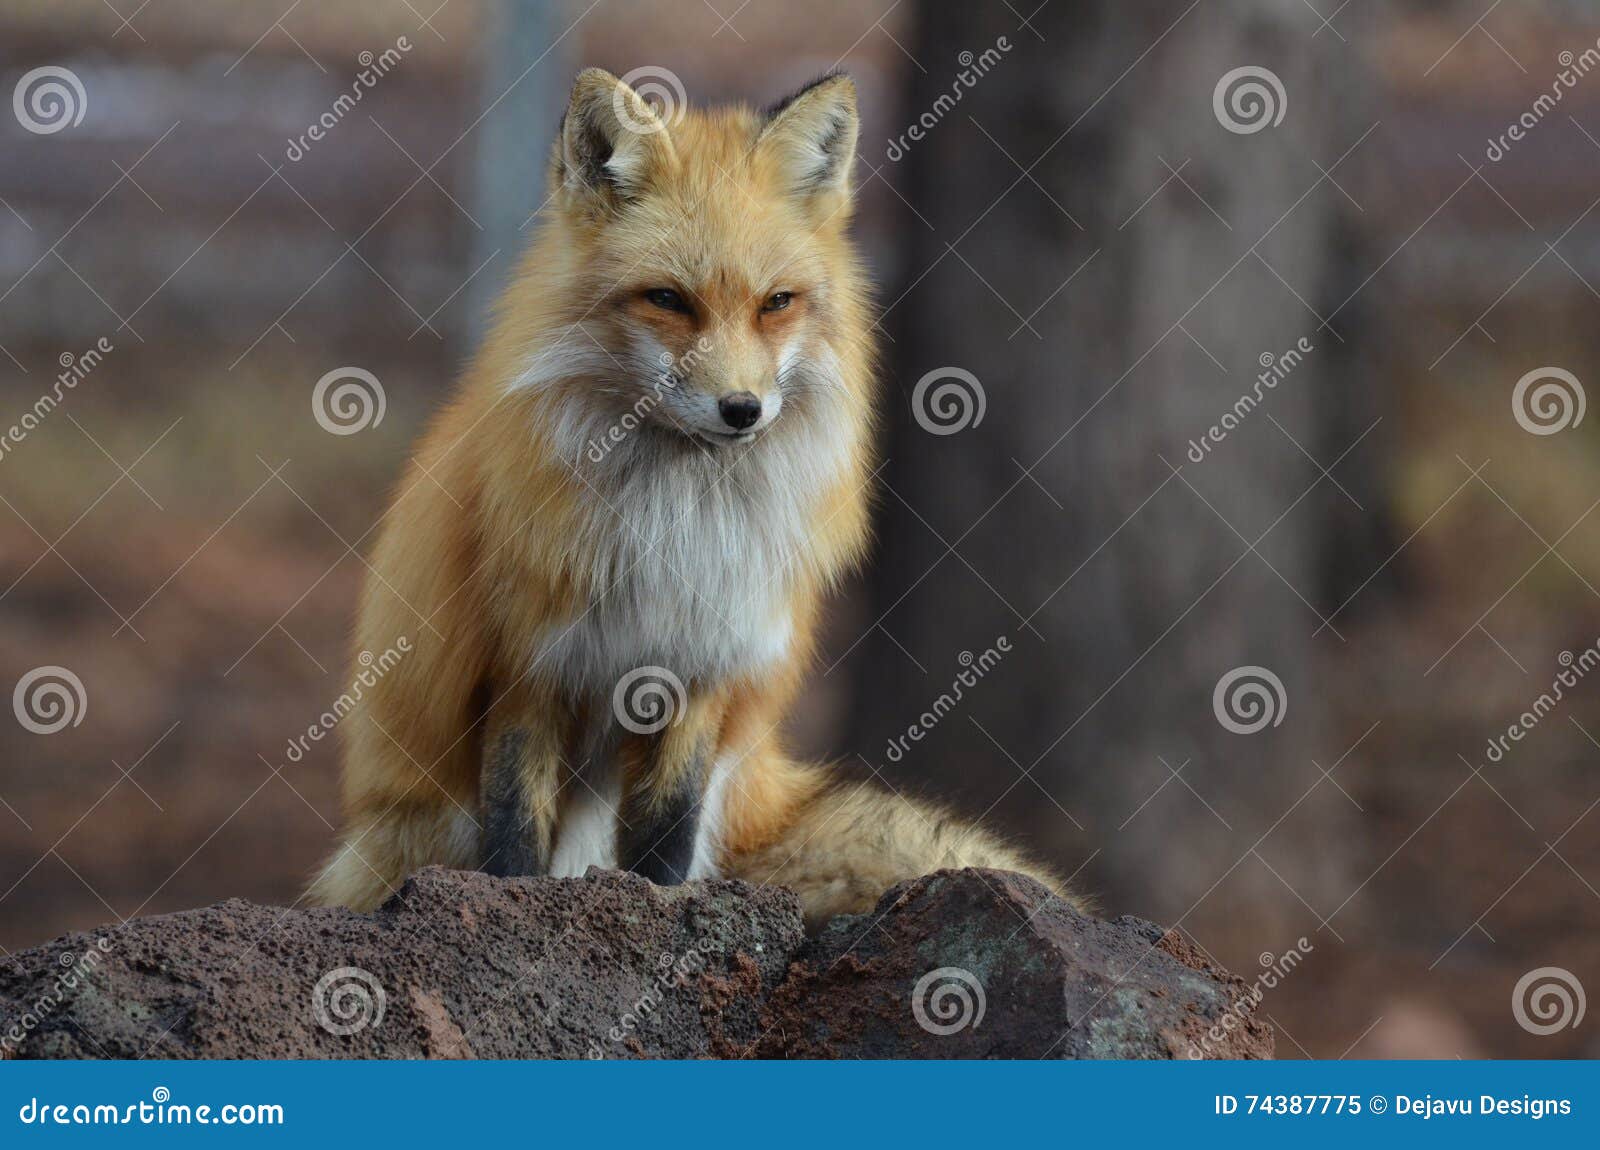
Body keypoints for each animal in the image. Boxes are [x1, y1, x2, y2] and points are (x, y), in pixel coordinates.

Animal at [307, 68, 1079, 928]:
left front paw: (665, 909)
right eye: (669, 300)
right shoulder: (525, 665)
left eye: (776, 303)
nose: (743, 409)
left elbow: (664, 830)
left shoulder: (704, 660)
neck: (677, 522)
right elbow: (515, 829)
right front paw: (506, 906)